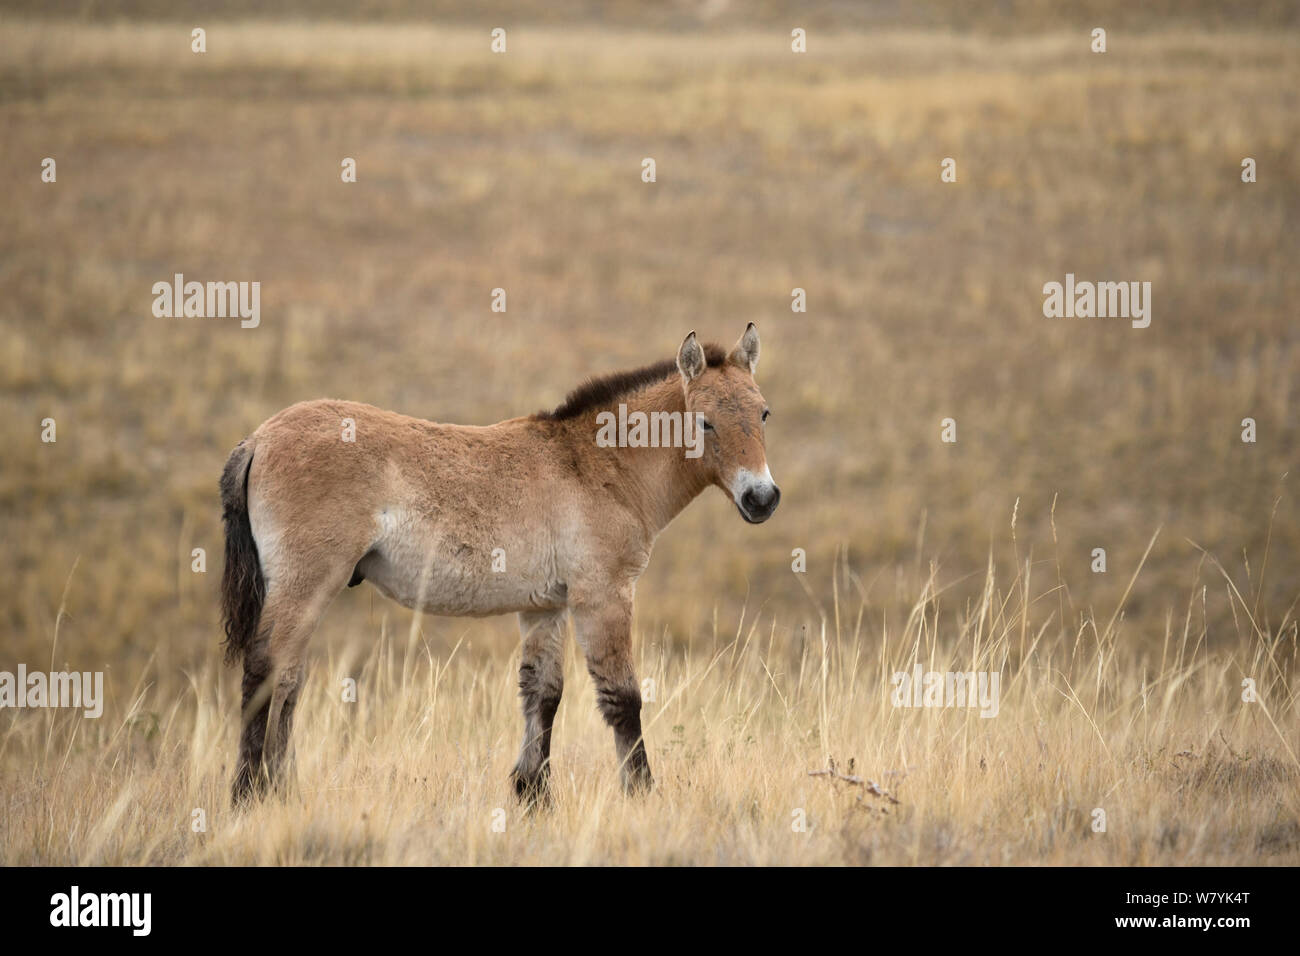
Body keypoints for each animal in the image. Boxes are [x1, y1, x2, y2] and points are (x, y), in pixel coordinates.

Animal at [220, 324, 780, 805]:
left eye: (764, 413)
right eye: (704, 421)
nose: (762, 498)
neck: (597, 465)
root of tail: (258, 438)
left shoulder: (546, 607)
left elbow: (543, 695)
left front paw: (533, 795)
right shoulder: (604, 596)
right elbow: (623, 698)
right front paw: (641, 794)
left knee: (288, 681)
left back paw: (282, 791)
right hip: (306, 584)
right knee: (265, 671)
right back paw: (248, 795)